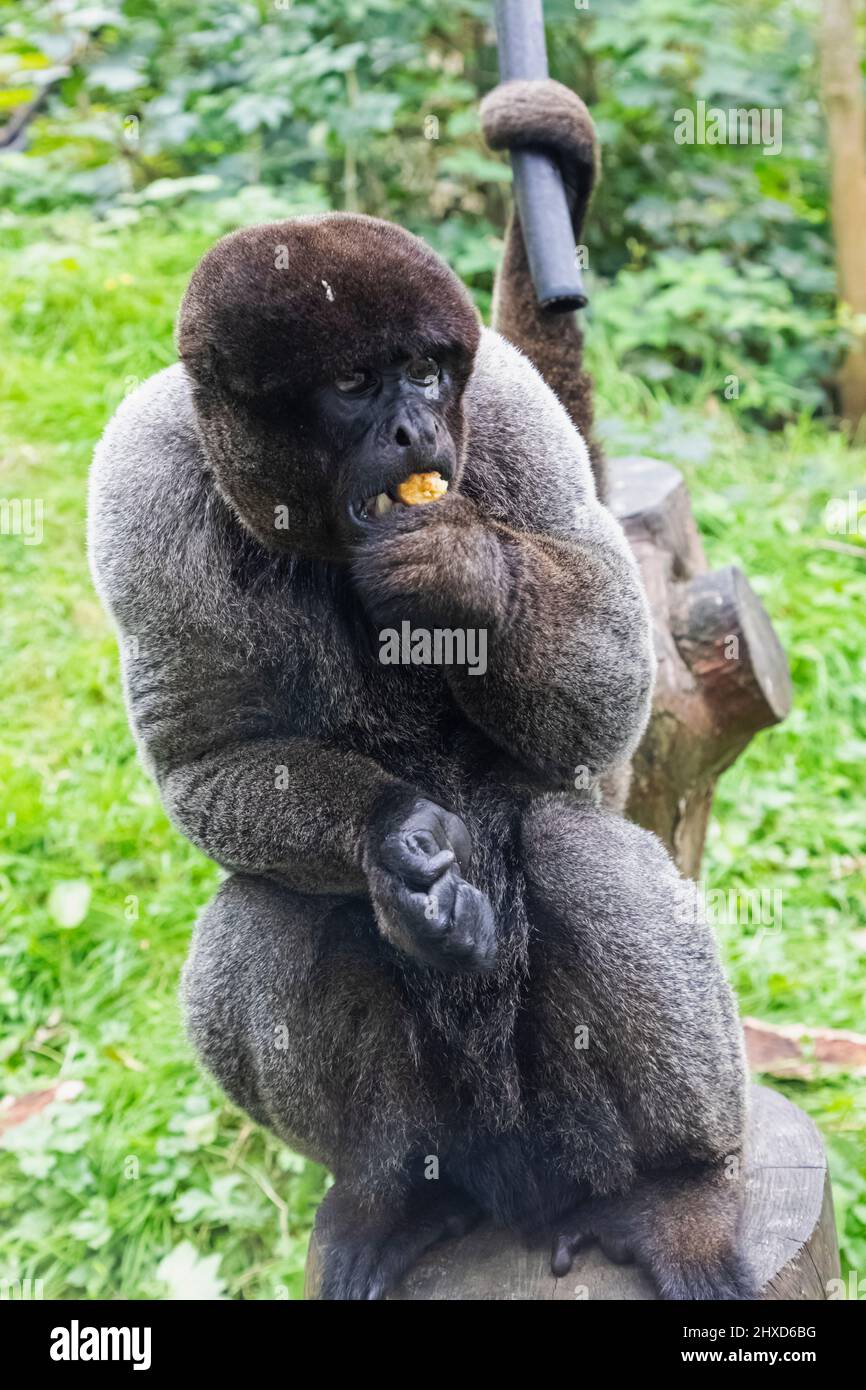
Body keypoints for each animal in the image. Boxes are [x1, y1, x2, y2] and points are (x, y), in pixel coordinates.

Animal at [88, 78, 755, 1301]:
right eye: (356, 384)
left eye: (429, 374)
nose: (413, 428)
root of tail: (520, 1185)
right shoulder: (142, 478)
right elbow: (207, 754)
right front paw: (402, 847)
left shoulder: (507, 411)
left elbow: (610, 691)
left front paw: (458, 573)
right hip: (450, 1128)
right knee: (276, 906)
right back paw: (395, 1196)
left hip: (571, 1133)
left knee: (576, 849)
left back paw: (678, 1190)